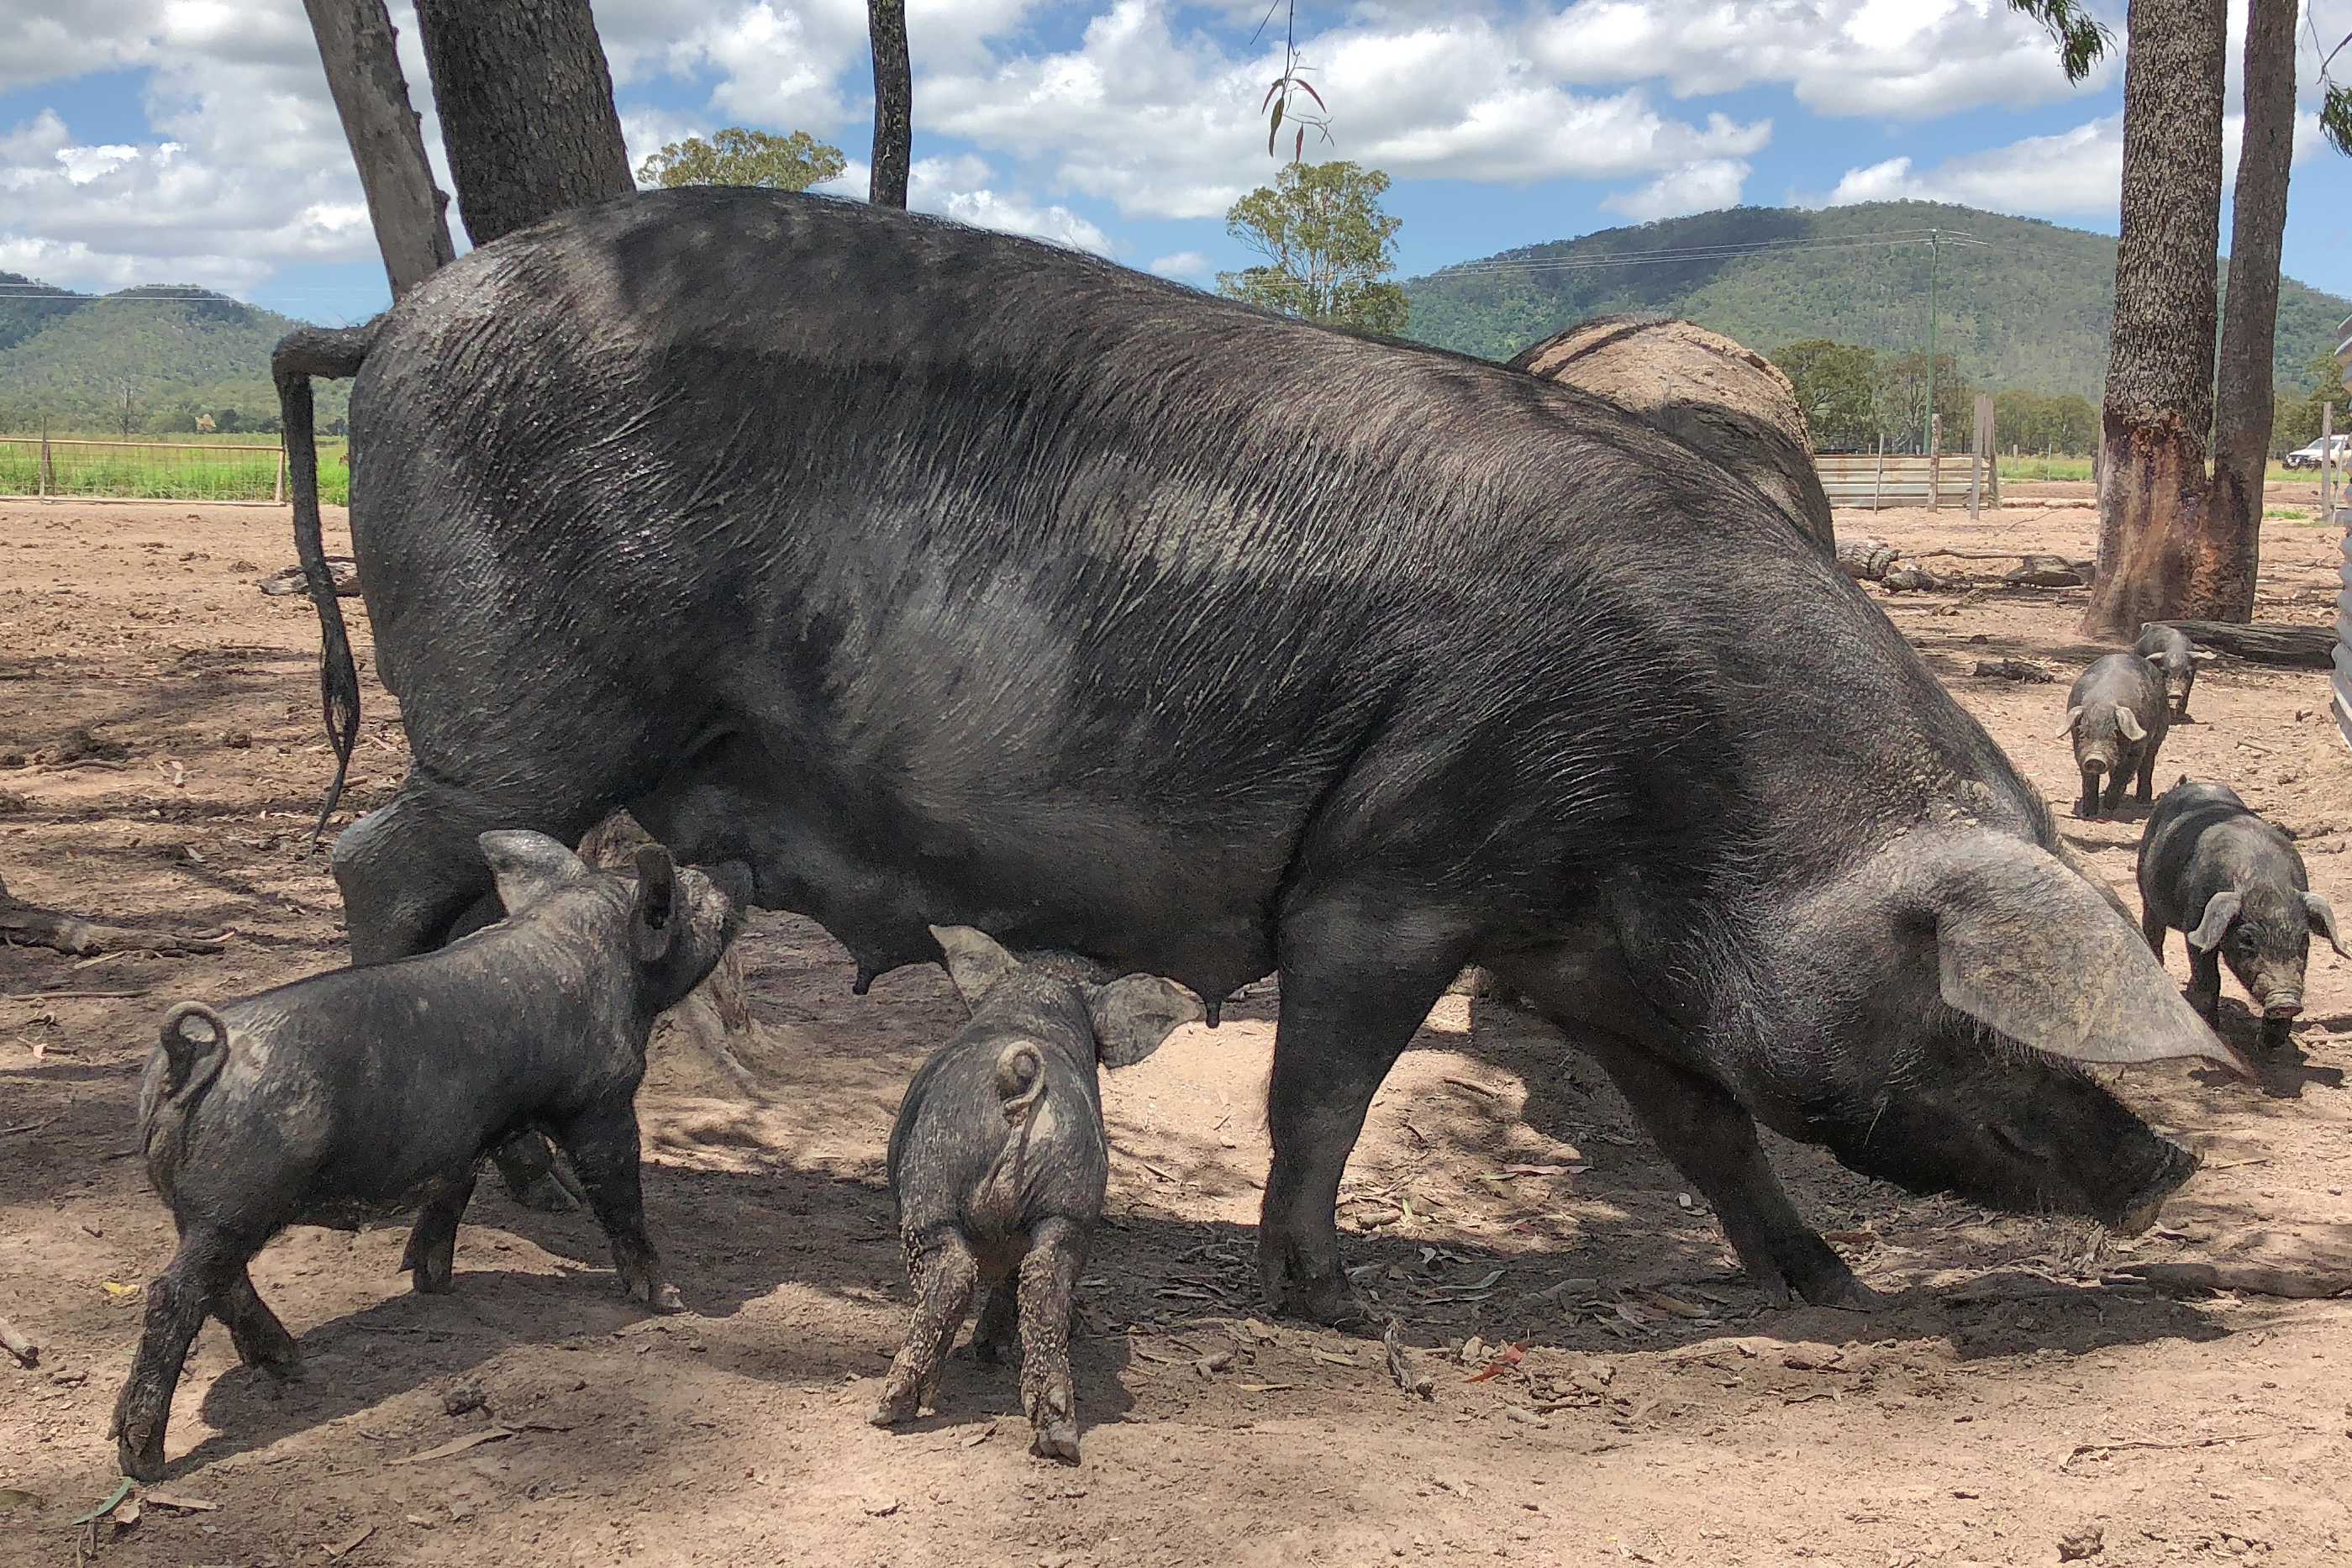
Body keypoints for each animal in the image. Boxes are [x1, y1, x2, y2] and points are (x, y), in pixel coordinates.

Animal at [108, 831, 746, 1480]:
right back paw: (145, 1461)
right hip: (237, 1202)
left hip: (209, 1209)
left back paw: (290, 1361)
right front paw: (669, 1299)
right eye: (698, 895)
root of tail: (189, 1055)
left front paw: (431, 1282)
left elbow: (453, 1192)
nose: (734, 864)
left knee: (221, 1283)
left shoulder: (470, 1131)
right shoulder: (600, 1102)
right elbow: (619, 1197)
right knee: (174, 1293)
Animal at [870, 926, 1200, 1463]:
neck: (1041, 995)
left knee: (953, 1271)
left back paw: (893, 1406)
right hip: (1070, 1202)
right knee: (1043, 1277)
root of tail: (1018, 1084)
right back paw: (1058, 1436)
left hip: (930, 1182)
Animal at [2060, 653, 2170, 819]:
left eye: (2115, 732)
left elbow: (2123, 773)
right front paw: (2088, 813)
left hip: (2159, 733)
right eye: (2082, 731)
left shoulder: (2138, 747)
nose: (2095, 758)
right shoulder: (2078, 749)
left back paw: (2143, 800)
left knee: (2148, 762)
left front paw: (2108, 807)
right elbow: (2089, 779)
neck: (2103, 701)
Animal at [2138, 780, 2352, 1052]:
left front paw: (2269, 1046)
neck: (2265, 883)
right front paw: (2215, 1030)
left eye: (2304, 941)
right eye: (2246, 940)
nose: (2285, 1000)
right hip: (2147, 892)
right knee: (2153, 931)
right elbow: (2209, 978)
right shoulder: (2196, 922)